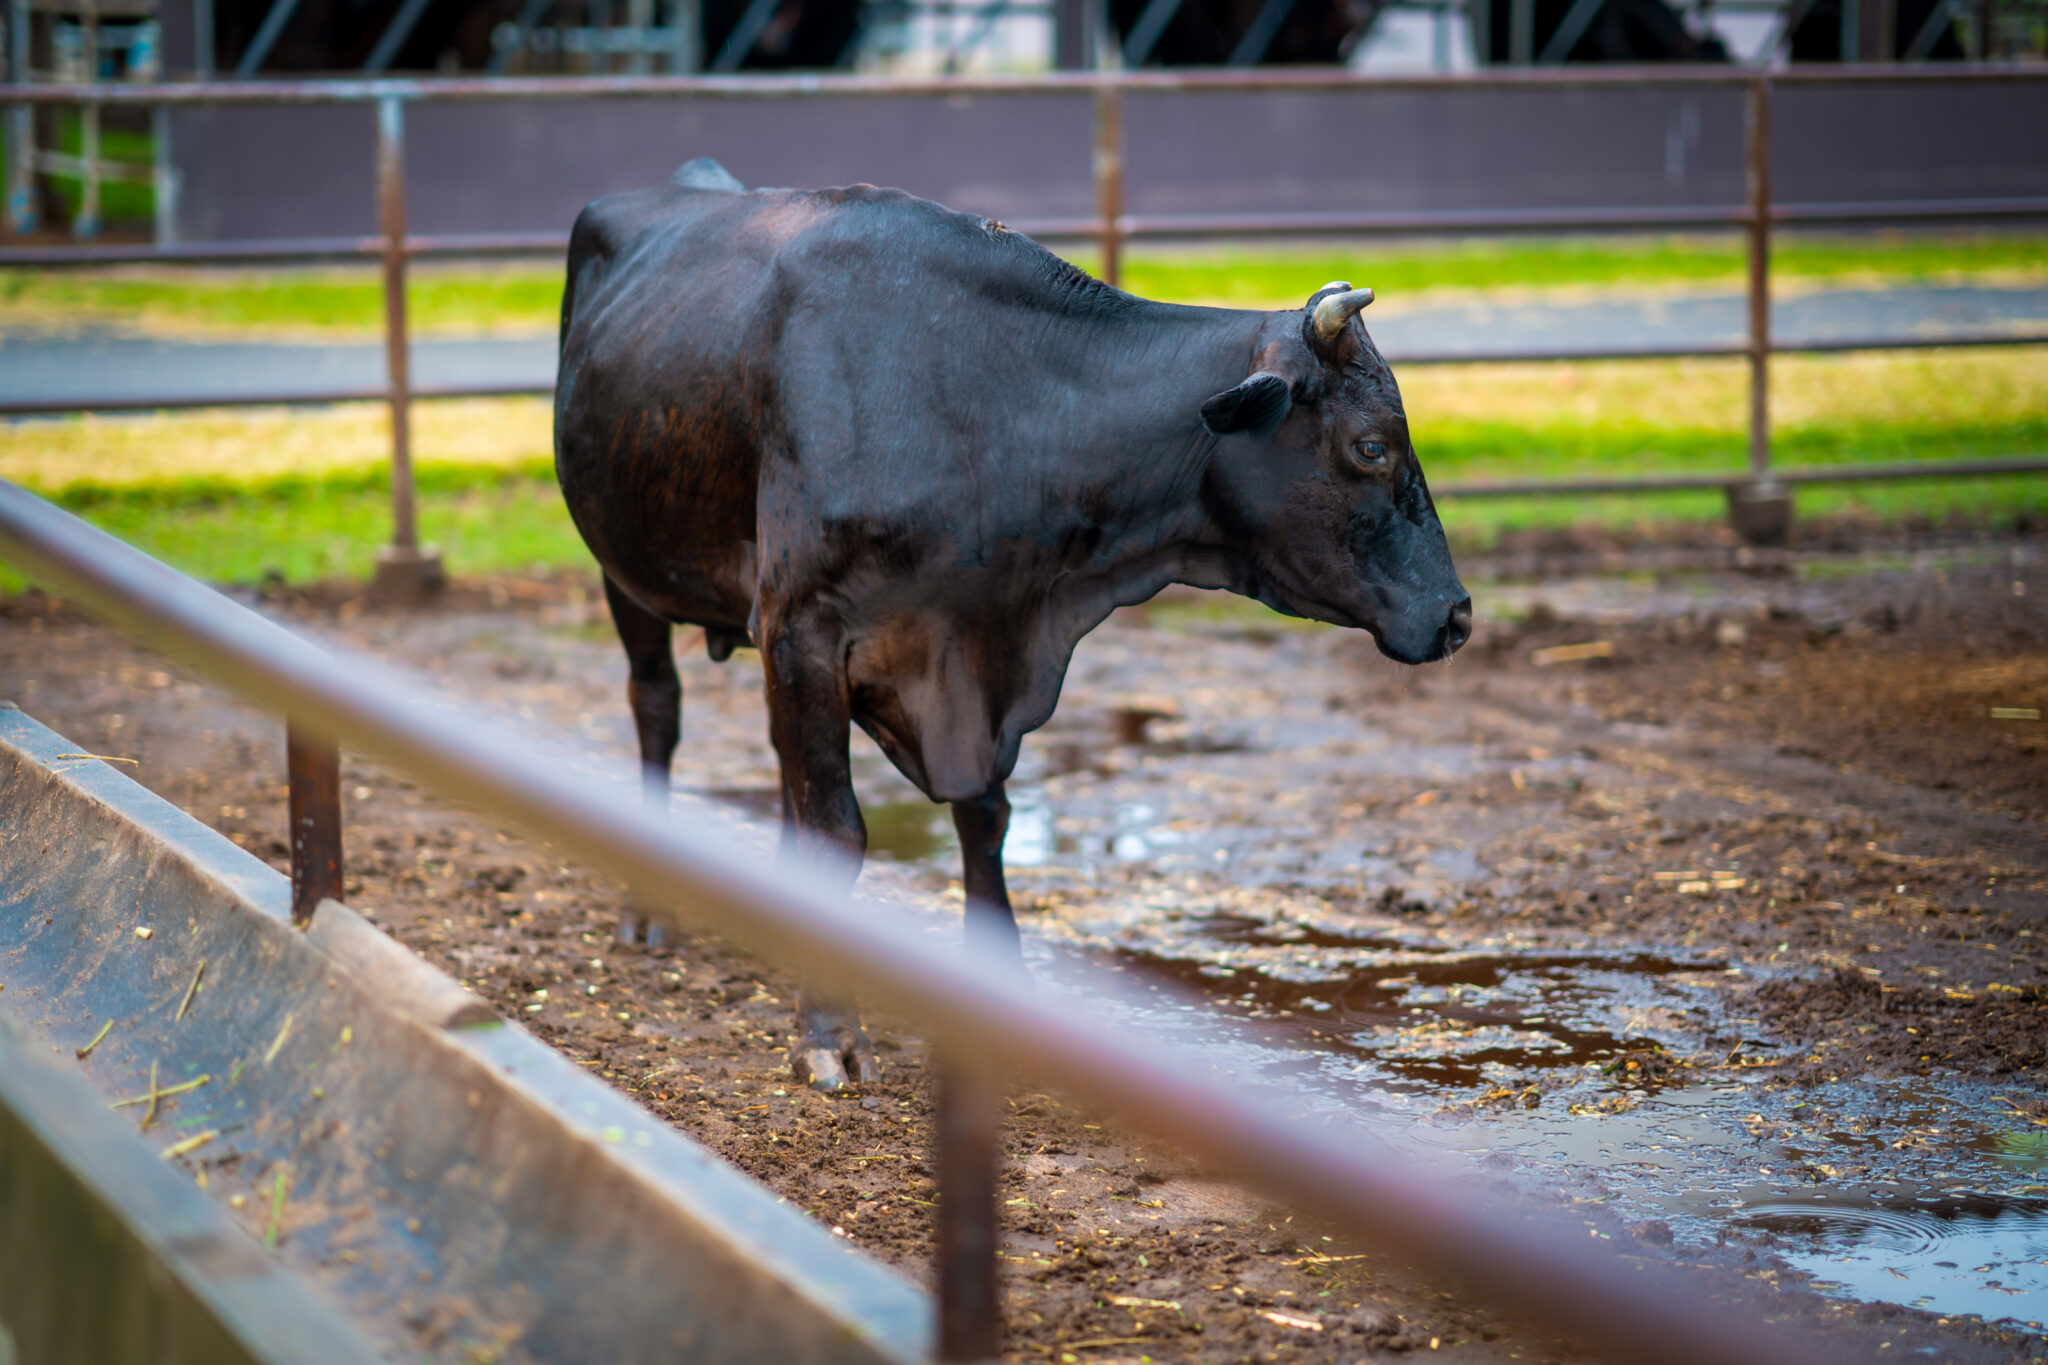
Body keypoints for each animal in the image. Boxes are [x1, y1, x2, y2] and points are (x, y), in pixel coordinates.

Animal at [555, 158, 1471, 1091]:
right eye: (1371, 445)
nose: (1458, 613)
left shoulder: (973, 660)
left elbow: (983, 820)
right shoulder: (801, 627)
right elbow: (838, 830)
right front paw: (827, 1033)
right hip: (627, 575)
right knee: (658, 711)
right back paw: (649, 907)